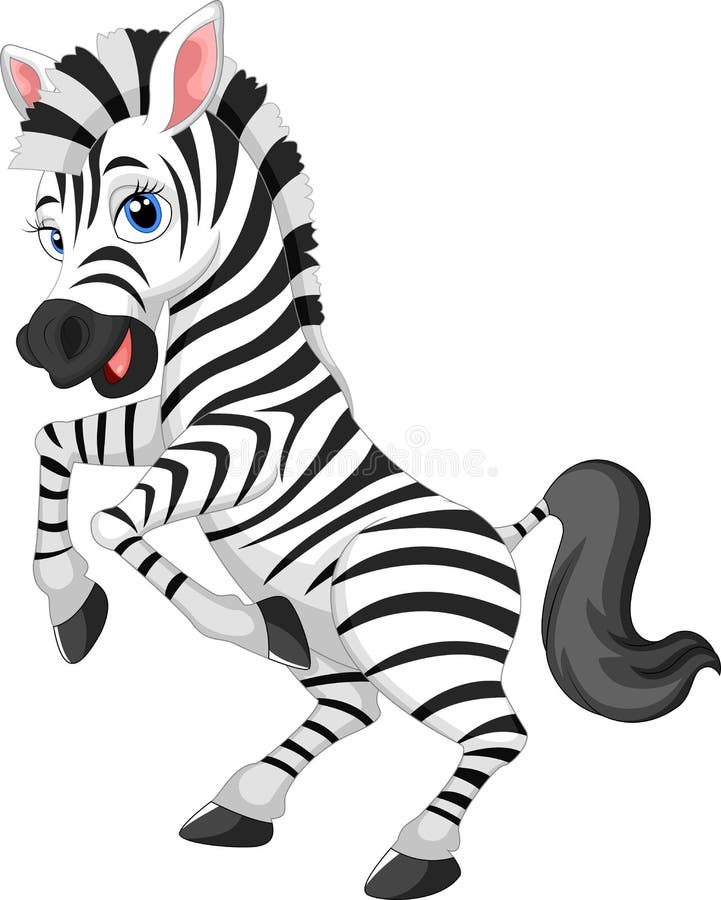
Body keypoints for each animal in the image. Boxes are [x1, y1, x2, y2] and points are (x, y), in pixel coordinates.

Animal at [3, 4, 718, 898]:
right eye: (48, 232)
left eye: (143, 211)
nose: (50, 341)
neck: (227, 363)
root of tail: (504, 537)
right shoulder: (150, 430)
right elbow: (52, 444)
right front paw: (69, 606)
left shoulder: (239, 454)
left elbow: (116, 522)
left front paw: (205, 618)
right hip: (349, 636)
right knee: (354, 707)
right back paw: (245, 797)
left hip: (405, 630)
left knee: (499, 731)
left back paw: (414, 852)